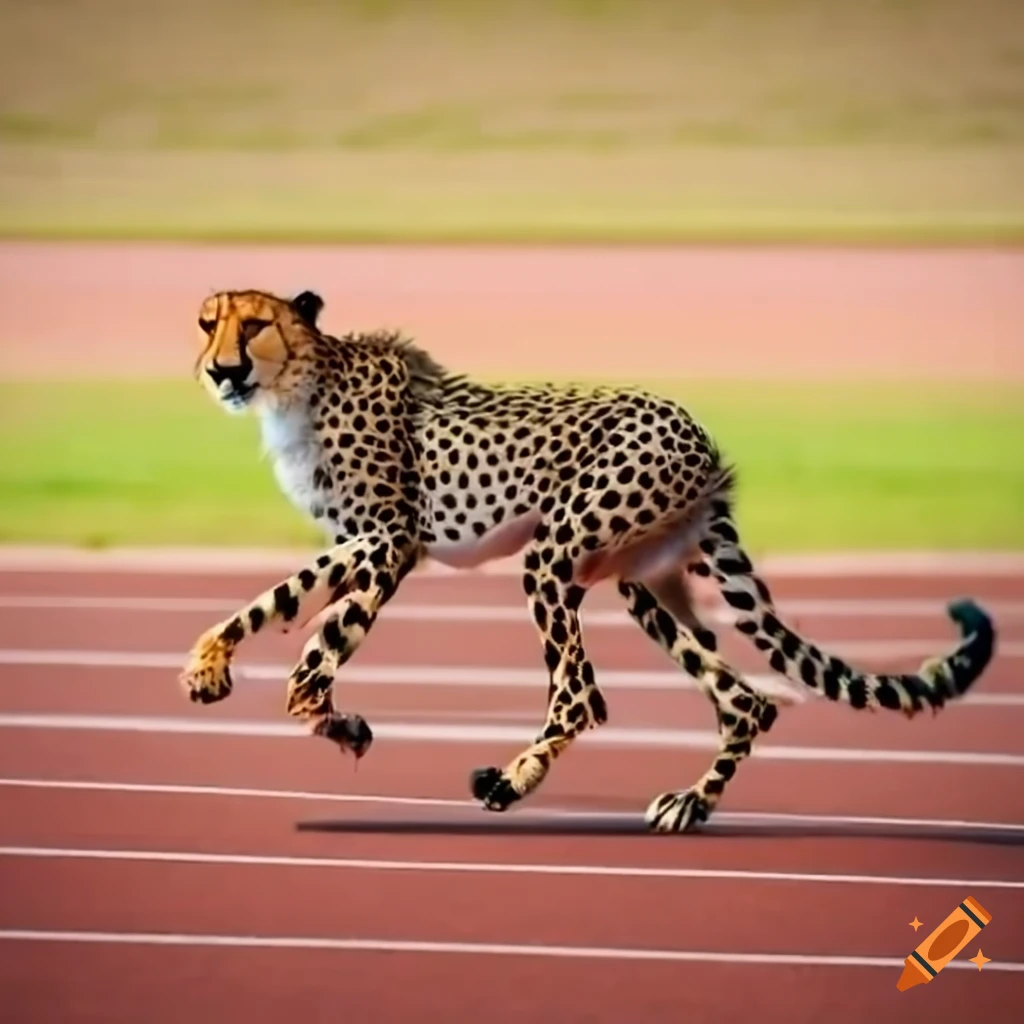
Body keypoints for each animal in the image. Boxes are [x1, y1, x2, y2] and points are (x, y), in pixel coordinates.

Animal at [180, 287, 996, 833]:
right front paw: (235, 676)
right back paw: (691, 802)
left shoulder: (390, 538)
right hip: (640, 579)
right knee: (745, 698)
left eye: (254, 323)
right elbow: (291, 612)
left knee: (582, 695)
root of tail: (699, 433)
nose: (222, 371)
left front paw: (315, 711)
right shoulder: (367, 546)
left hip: (553, 556)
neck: (300, 383)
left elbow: (312, 641)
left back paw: (513, 781)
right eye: (207, 323)